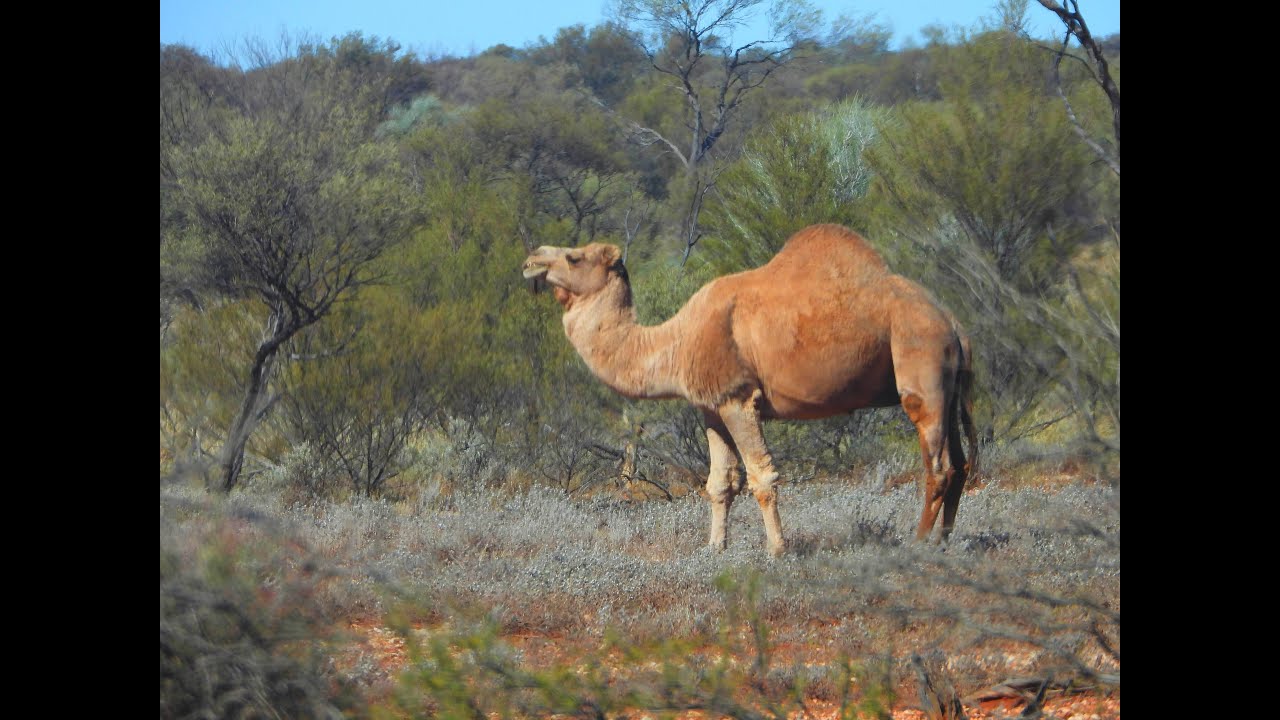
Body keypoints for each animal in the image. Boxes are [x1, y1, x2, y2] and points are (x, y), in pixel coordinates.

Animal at [522, 223, 976, 556]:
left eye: (574, 256)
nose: (531, 260)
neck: (677, 342)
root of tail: (952, 321)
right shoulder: (712, 406)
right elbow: (719, 482)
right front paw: (714, 548)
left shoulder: (739, 399)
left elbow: (761, 476)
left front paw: (777, 551)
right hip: (950, 385)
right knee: (960, 464)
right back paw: (944, 541)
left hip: (921, 364)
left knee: (937, 464)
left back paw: (917, 543)